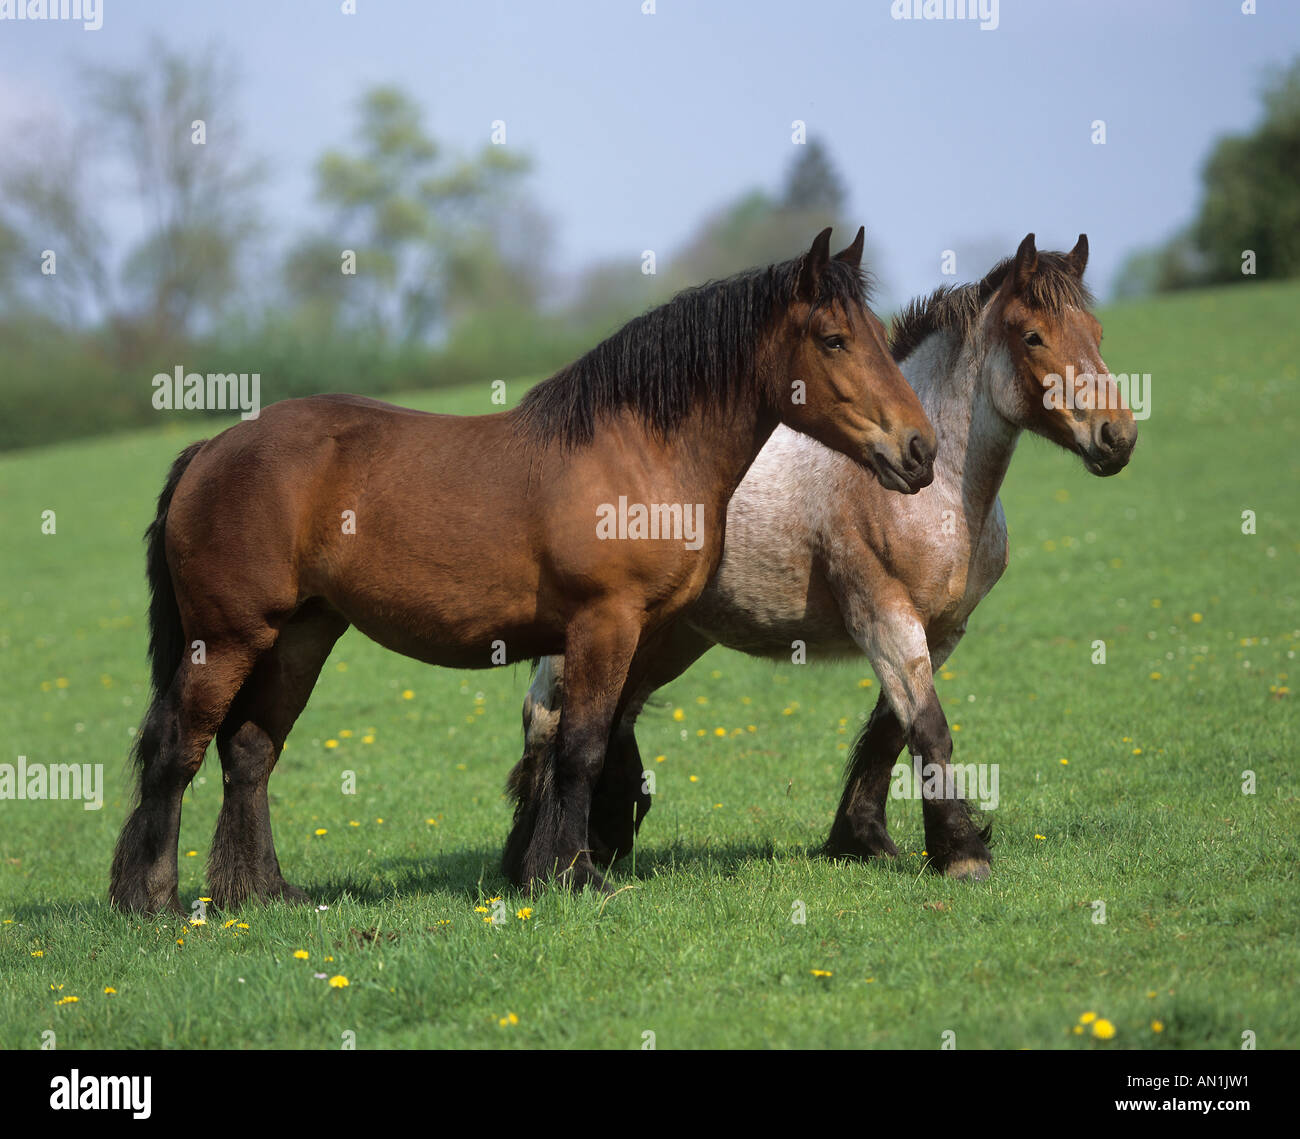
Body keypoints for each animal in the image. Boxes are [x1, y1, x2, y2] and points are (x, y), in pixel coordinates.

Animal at [109, 227, 937, 915]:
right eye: (833, 339)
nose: (920, 449)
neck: (636, 448)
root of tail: (211, 450)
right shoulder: (604, 622)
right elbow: (582, 747)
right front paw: (571, 875)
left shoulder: (631, 634)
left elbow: (587, 745)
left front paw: (554, 863)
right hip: (229, 637)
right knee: (177, 747)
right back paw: (151, 898)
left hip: (301, 635)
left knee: (249, 752)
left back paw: (263, 892)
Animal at [510, 233, 1138, 881]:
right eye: (1033, 336)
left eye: (1096, 331)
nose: (1116, 437)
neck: (936, 495)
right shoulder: (885, 617)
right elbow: (929, 729)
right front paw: (963, 854)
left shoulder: (941, 632)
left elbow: (892, 732)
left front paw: (863, 839)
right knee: (550, 722)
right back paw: (538, 862)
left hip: (668, 637)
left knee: (615, 717)